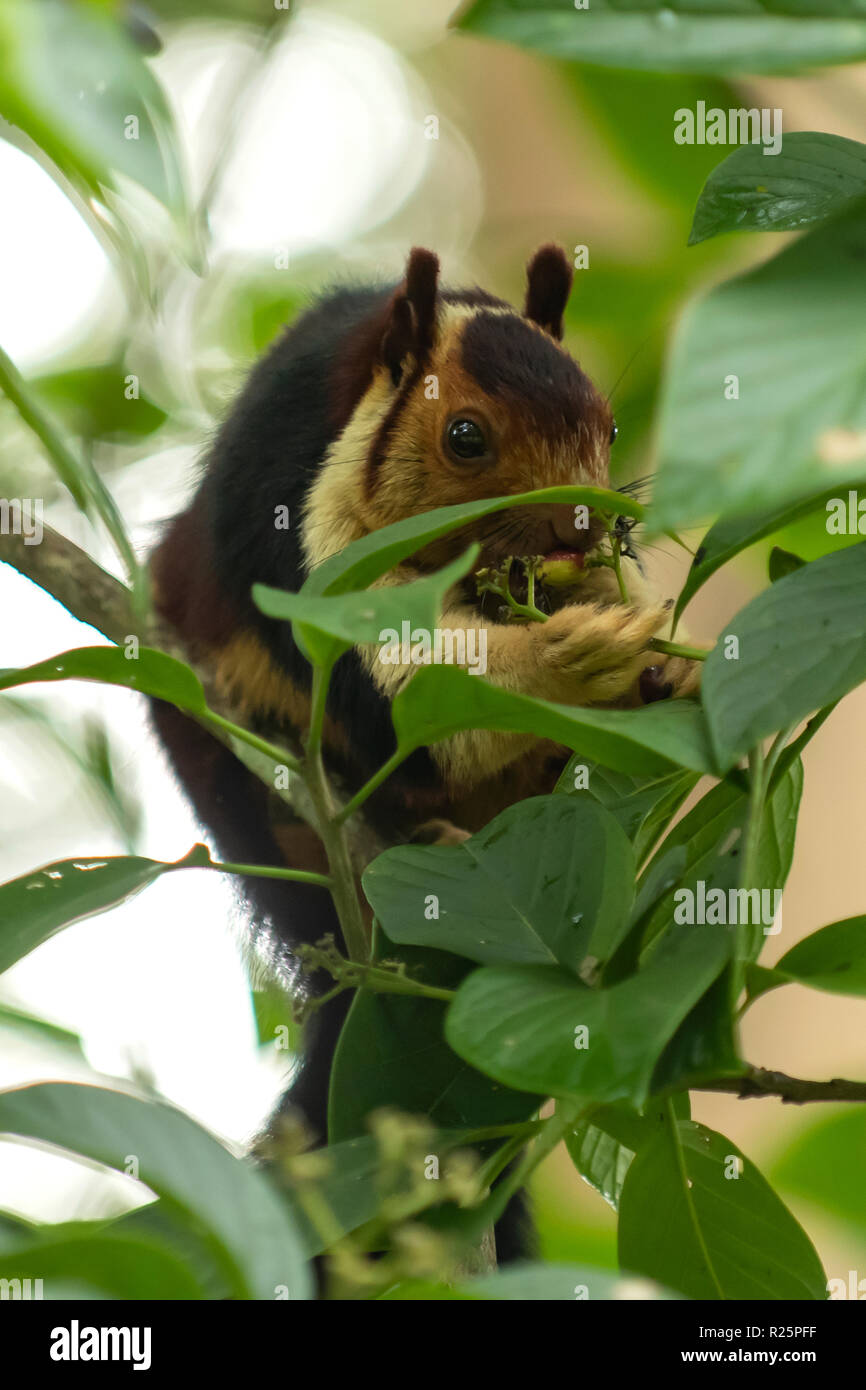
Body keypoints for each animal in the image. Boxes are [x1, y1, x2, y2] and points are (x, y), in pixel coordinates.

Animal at [150, 244, 698, 1258]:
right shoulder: (295, 522)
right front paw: (561, 657)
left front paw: (656, 647)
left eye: (609, 427)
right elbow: (396, 690)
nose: (580, 528)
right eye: (467, 438)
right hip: (236, 788)